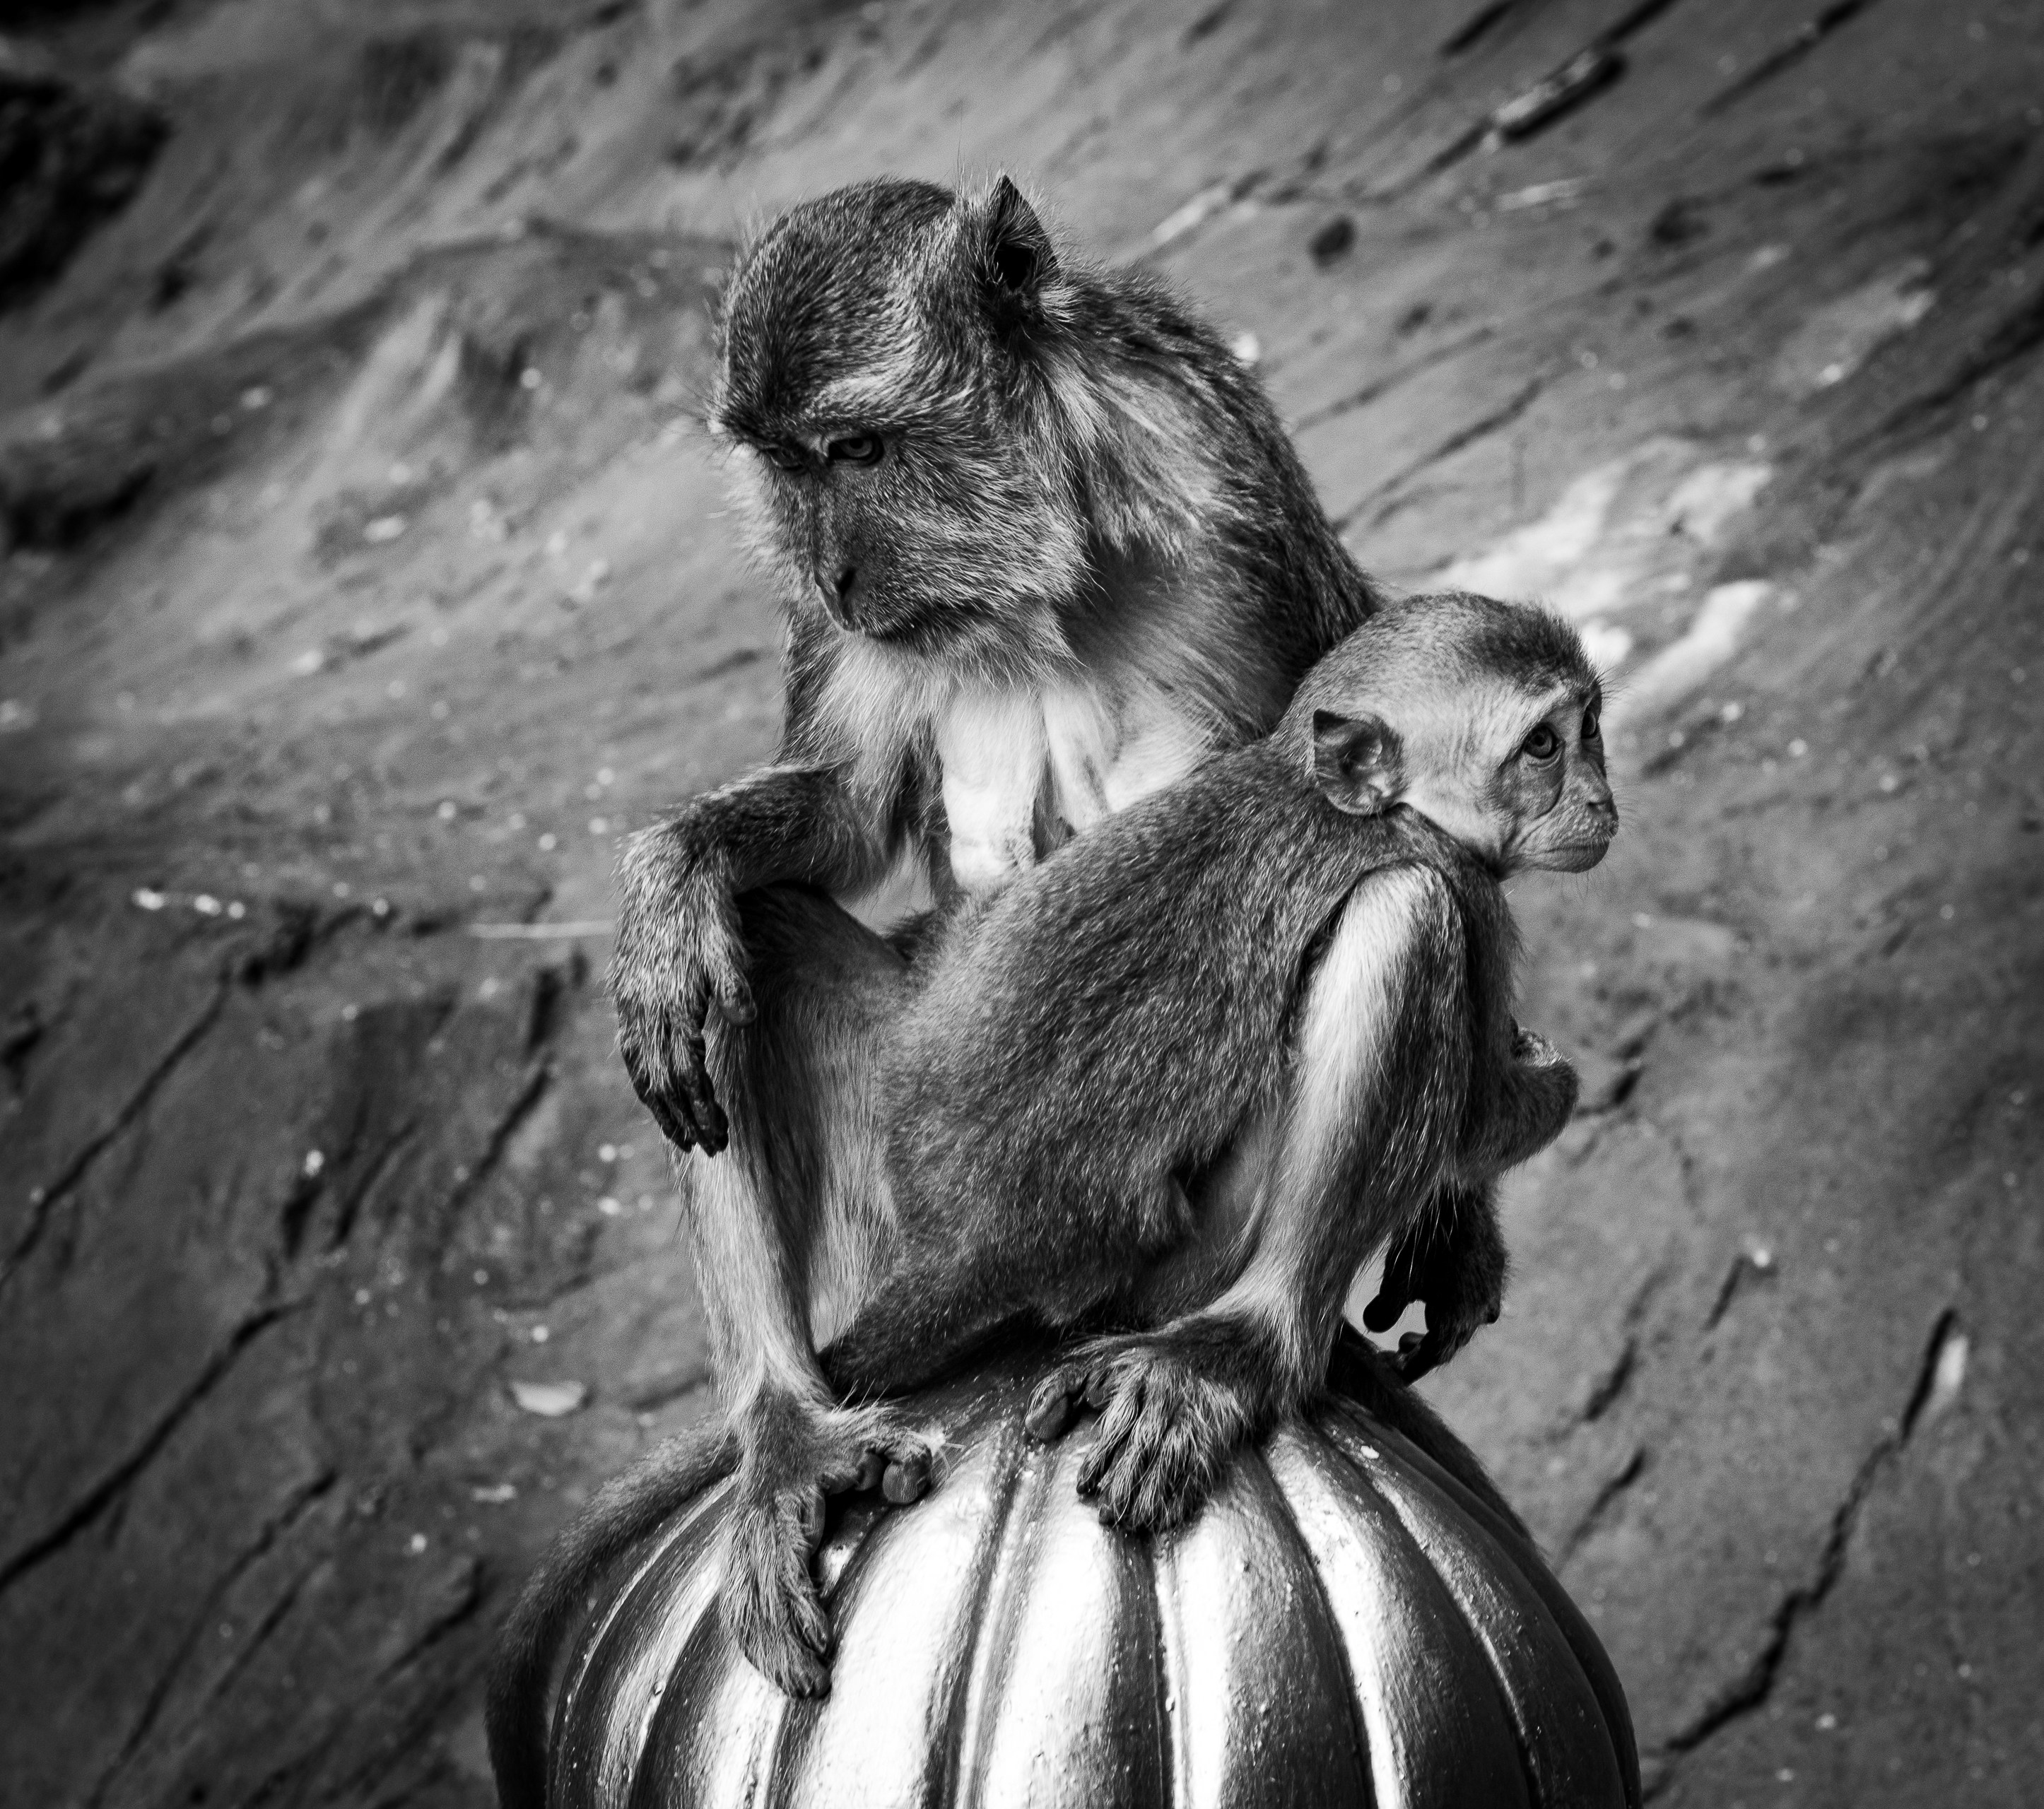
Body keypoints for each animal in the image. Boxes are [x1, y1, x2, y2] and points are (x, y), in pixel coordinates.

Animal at [598, 173, 1421, 1697]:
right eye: (791, 469)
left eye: (860, 448)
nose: (834, 569)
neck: (1046, 571)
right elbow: (847, 822)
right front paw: (669, 880)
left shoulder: (1222, 473)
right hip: (912, 1212)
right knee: (752, 946)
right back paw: (788, 1435)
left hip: (1162, 1252)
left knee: (1384, 898)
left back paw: (1239, 1353)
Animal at [818, 591, 1617, 1533]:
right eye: (1542, 746)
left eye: (1590, 726)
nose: (1602, 800)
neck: (1332, 793)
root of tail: (956, 1248)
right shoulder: (1469, 886)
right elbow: (1479, 1117)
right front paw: (1546, 1079)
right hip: (1182, 1263)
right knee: (1402, 914)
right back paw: (1258, 1345)